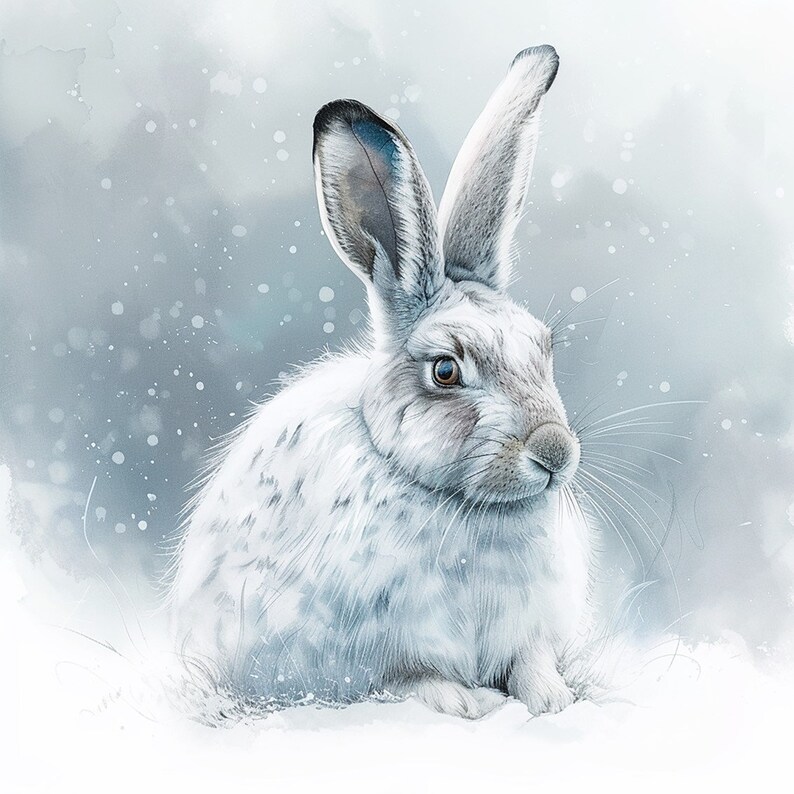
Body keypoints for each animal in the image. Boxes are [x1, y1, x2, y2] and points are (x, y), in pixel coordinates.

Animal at [169, 44, 593, 720]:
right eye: (446, 370)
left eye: (545, 349)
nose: (555, 453)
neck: (461, 503)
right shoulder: (365, 650)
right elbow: (409, 678)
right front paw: (466, 702)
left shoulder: (528, 629)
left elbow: (530, 662)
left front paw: (552, 698)